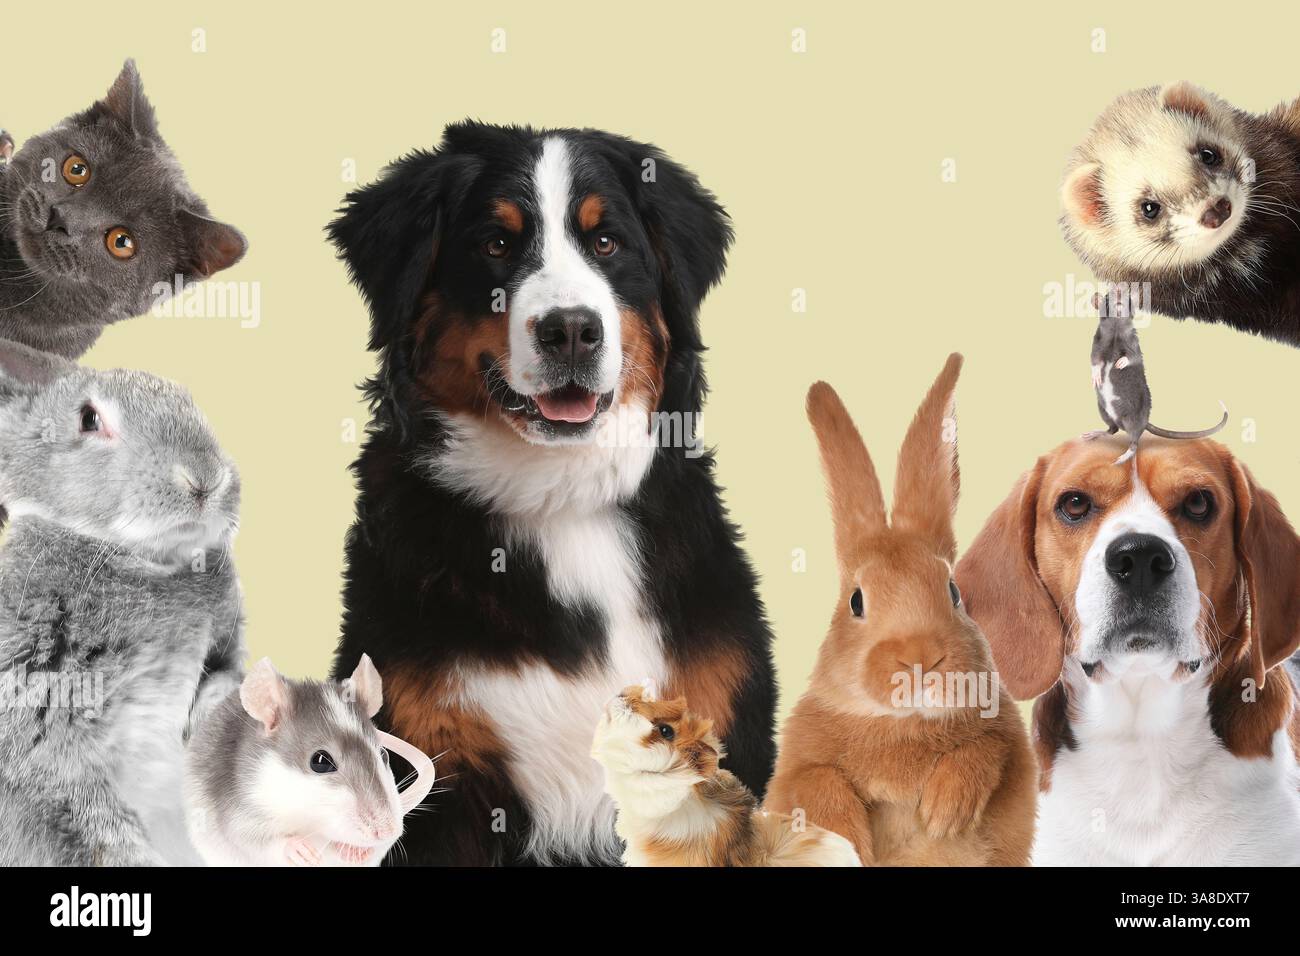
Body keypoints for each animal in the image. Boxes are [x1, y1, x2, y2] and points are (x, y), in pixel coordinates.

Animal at [764, 353, 1038, 866]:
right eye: (856, 601)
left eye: (952, 590)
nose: (920, 658)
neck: (903, 723)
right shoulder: (796, 766)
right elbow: (816, 780)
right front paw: (853, 840)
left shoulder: (1009, 745)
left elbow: (985, 749)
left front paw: (945, 812)